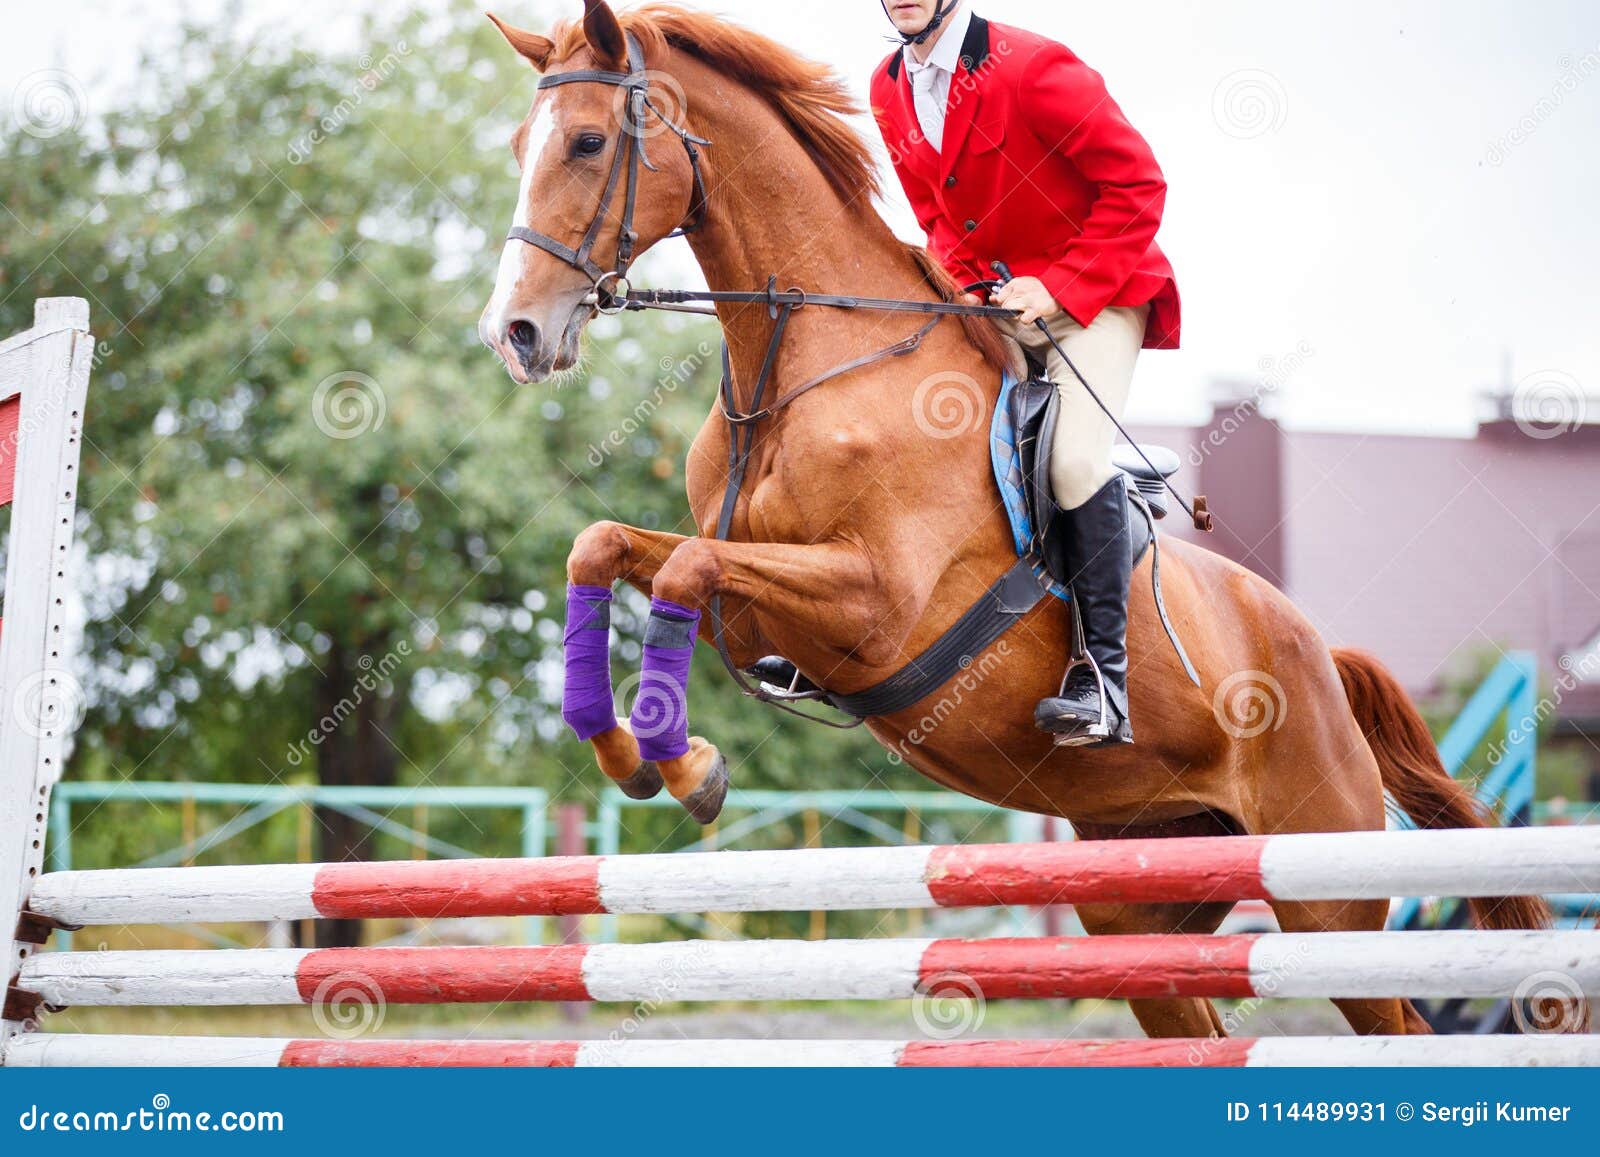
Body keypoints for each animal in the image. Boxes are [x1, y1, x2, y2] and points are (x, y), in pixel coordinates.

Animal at [478, 1, 1569, 1040]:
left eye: (586, 142)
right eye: (519, 147)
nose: (516, 333)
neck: (804, 364)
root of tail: (1323, 658)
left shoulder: (873, 603)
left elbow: (682, 568)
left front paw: (690, 766)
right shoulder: (756, 604)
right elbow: (610, 546)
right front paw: (625, 749)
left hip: (1320, 888)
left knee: (1392, 1013)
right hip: (1143, 893)